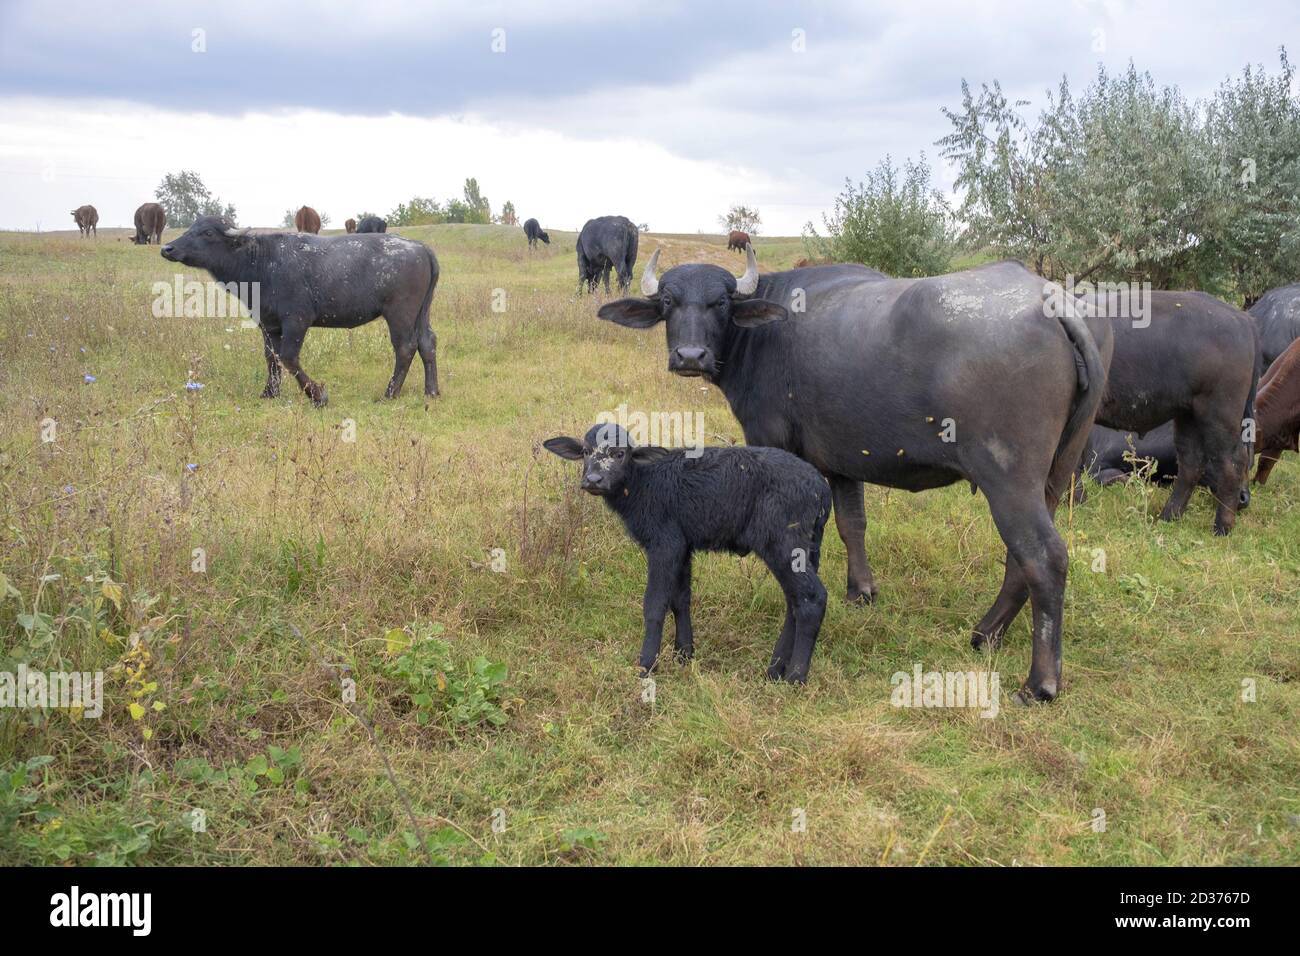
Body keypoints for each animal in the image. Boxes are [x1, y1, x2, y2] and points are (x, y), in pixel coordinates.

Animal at [161, 216, 439, 407]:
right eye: (190, 229)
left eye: (207, 232)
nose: (167, 248)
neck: (262, 263)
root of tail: (421, 248)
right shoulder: (268, 324)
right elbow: (271, 357)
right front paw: (269, 393)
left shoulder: (297, 320)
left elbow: (288, 357)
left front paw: (318, 396)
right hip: (421, 313)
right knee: (427, 342)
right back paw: (432, 391)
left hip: (400, 313)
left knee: (405, 347)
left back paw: (390, 393)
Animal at [597, 250, 1112, 702]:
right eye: (669, 301)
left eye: (720, 302)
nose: (690, 356)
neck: (765, 333)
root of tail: (1051, 302)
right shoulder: (842, 463)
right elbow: (852, 524)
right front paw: (861, 591)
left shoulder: (778, 448)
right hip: (1051, 478)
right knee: (1019, 559)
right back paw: (987, 633)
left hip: (1009, 481)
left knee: (1044, 558)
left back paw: (1040, 682)